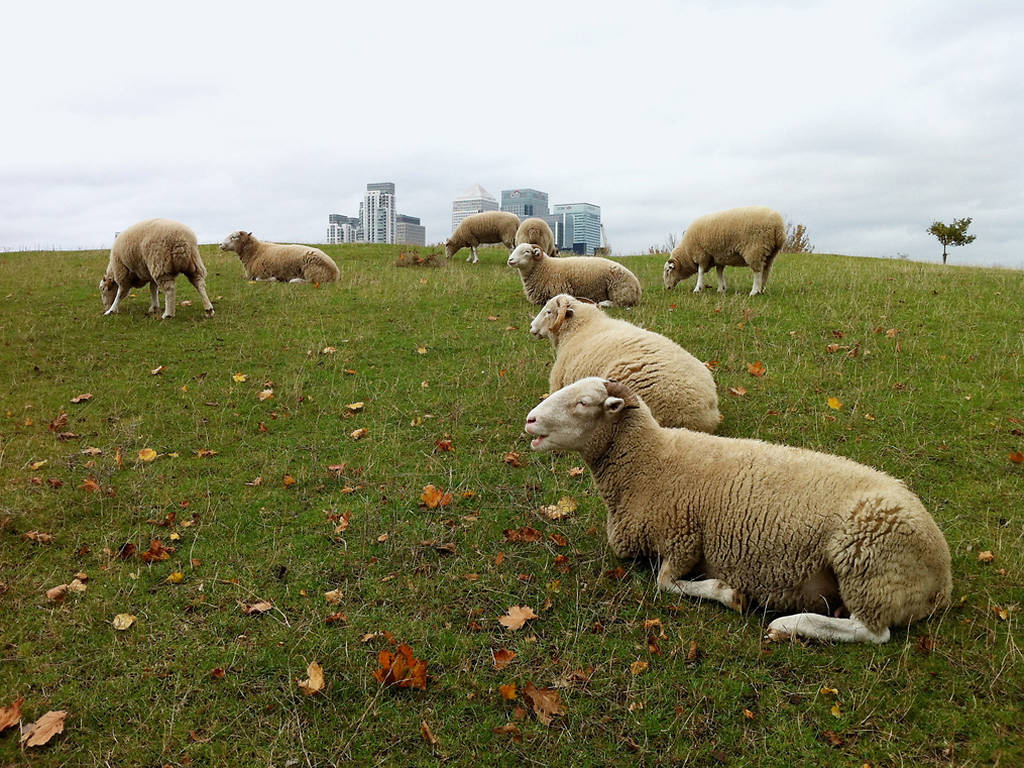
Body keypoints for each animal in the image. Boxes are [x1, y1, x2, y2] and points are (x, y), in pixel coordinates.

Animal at [507, 244, 642, 307]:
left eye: (527, 251)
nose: (510, 260)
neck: (544, 267)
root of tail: (638, 288)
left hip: (620, 291)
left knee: (620, 303)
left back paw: (604, 303)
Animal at [524, 377, 952, 644]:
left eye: (583, 403)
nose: (530, 419)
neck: (651, 461)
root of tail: (942, 580)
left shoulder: (683, 538)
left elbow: (666, 583)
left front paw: (728, 593)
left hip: (867, 564)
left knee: (872, 632)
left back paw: (789, 624)